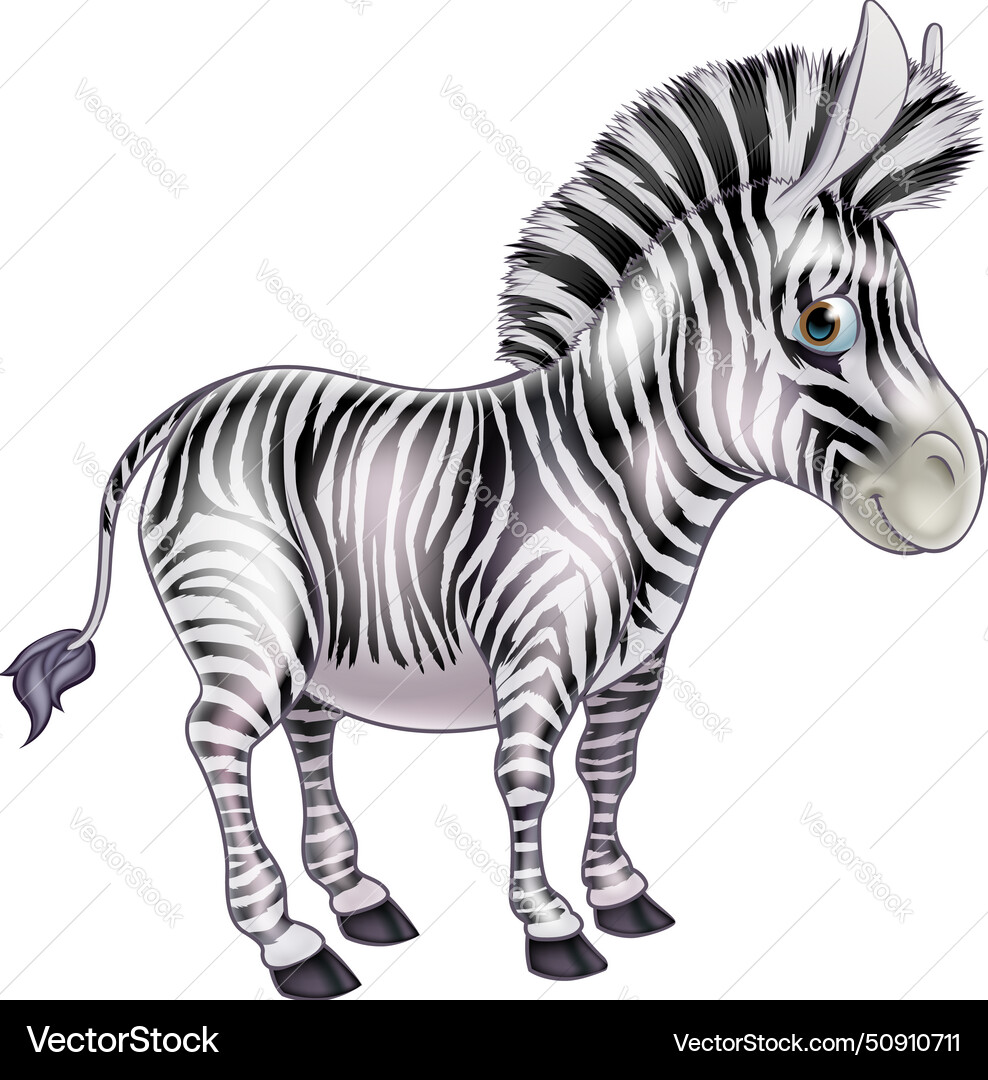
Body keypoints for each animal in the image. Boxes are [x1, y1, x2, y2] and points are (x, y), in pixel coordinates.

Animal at [5, 2, 985, 999]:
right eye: (825, 324)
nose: (959, 494)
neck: (621, 469)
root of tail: (184, 409)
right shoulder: (533, 648)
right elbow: (526, 778)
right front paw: (549, 925)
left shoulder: (635, 664)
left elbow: (609, 766)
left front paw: (619, 893)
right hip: (244, 614)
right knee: (216, 737)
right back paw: (287, 940)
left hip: (311, 641)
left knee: (307, 733)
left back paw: (355, 896)